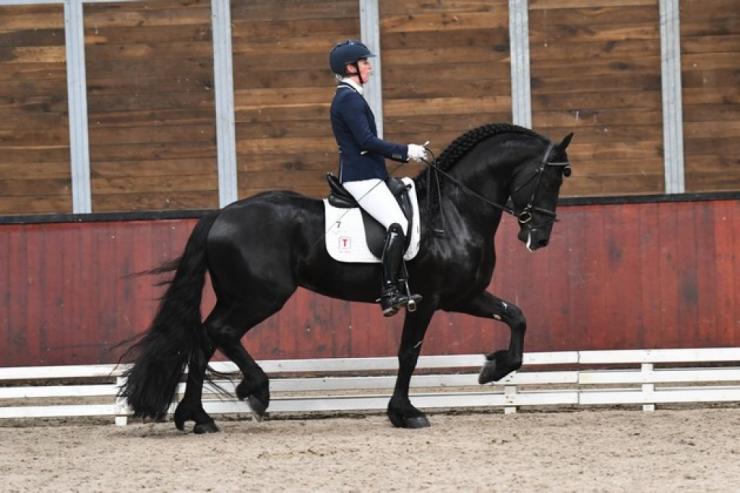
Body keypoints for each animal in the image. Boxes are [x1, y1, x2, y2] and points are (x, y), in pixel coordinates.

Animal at [119, 123, 573, 433]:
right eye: (550, 177)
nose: (540, 238)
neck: (455, 211)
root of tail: (220, 214)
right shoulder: (426, 300)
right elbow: (409, 353)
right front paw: (405, 413)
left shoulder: (464, 295)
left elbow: (516, 316)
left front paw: (493, 368)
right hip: (261, 296)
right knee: (221, 332)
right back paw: (254, 391)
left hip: (237, 295)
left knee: (202, 339)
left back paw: (197, 418)